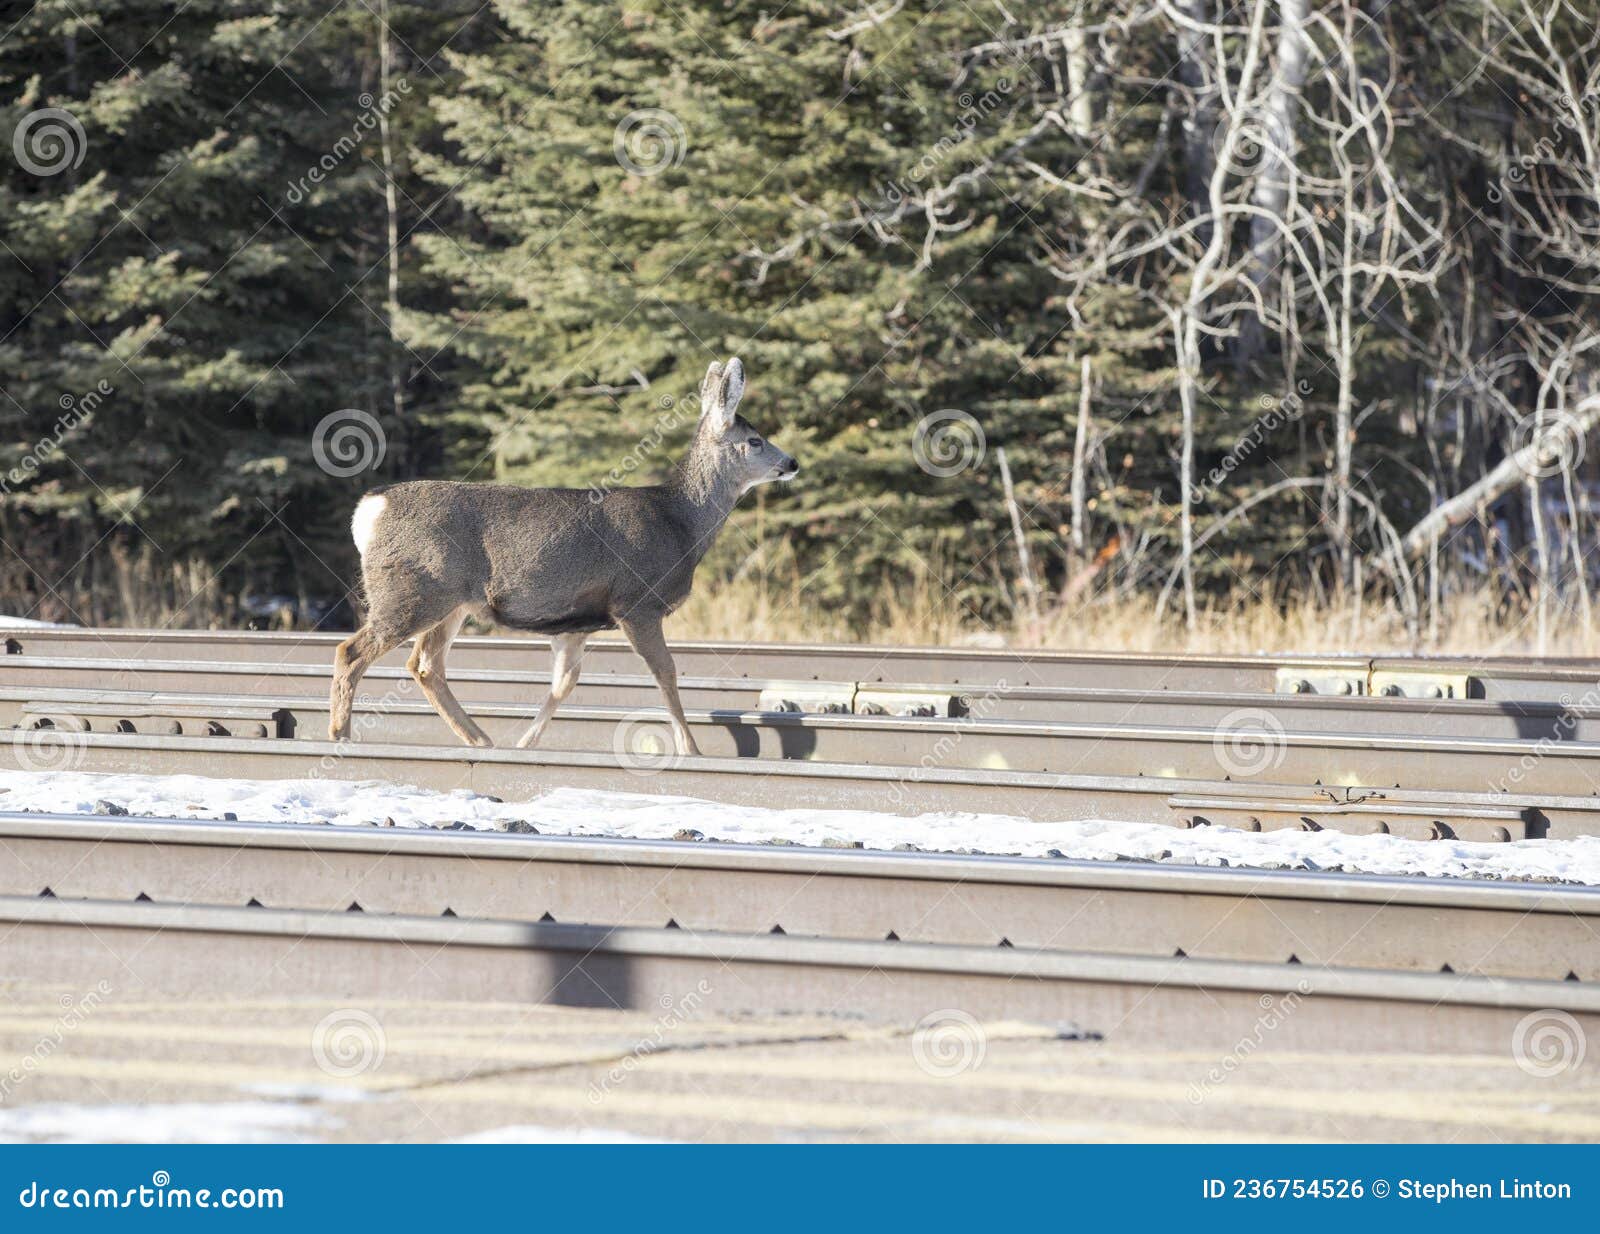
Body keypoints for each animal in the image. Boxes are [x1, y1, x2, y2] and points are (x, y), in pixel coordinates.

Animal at [328, 357, 798, 757]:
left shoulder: (574, 623)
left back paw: (481, 739)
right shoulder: (638, 602)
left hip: (449, 601)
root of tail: (369, 509)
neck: (681, 524)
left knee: (425, 665)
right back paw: (341, 735)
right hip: (413, 589)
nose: (792, 462)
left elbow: (564, 684)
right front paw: (692, 749)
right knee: (351, 651)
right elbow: (664, 673)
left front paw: (526, 743)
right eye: (755, 440)